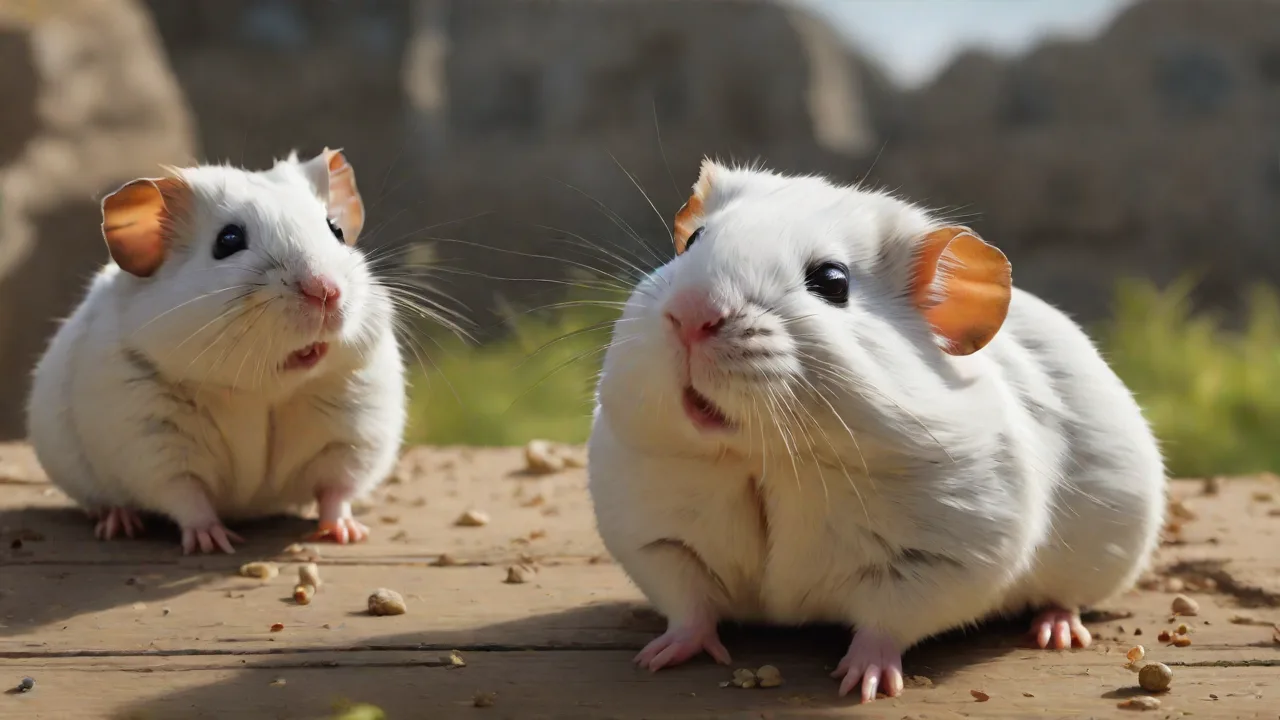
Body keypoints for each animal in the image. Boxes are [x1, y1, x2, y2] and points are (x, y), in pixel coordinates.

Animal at [26, 149, 405, 554]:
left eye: (335, 230)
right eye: (228, 240)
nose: (325, 292)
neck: (261, 391)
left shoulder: (351, 438)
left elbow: (337, 491)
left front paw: (347, 533)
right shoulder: (155, 447)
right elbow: (187, 499)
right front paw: (214, 541)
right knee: (108, 502)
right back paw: (119, 522)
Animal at [587, 160, 1165, 702]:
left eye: (832, 281)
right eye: (693, 242)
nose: (690, 315)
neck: (764, 458)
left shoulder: (936, 564)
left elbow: (884, 626)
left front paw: (864, 682)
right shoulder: (658, 542)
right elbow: (688, 607)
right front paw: (658, 657)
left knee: (1066, 599)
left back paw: (1055, 629)